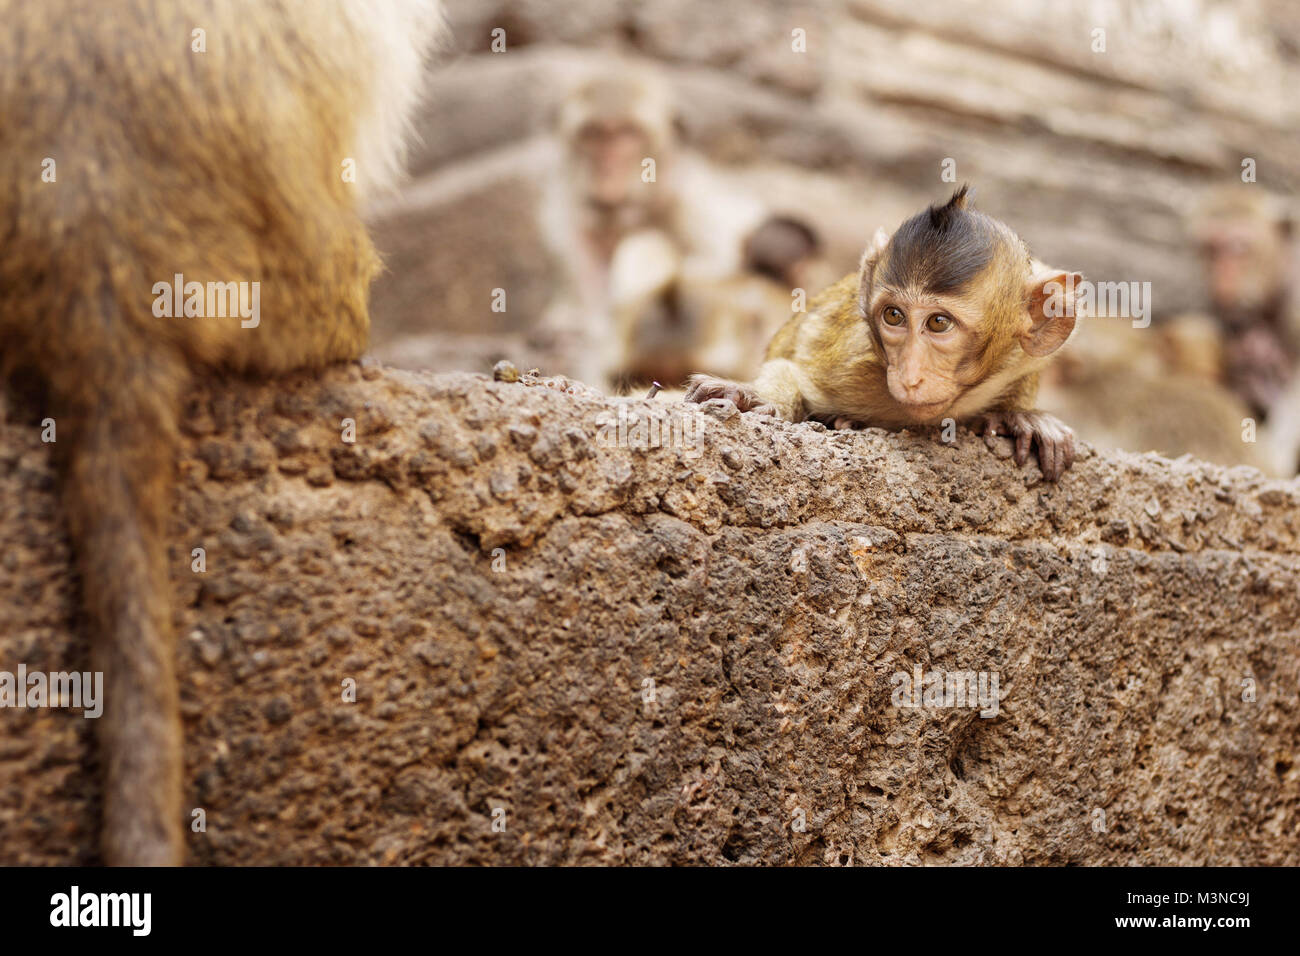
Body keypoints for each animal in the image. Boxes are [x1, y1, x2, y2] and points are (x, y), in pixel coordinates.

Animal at [684, 186, 1083, 481]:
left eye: (938, 323)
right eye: (894, 315)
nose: (909, 375)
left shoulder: (1023, 356)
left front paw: (1021, 419)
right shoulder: (851, 370)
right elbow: (792, 371)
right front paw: (749, 396)